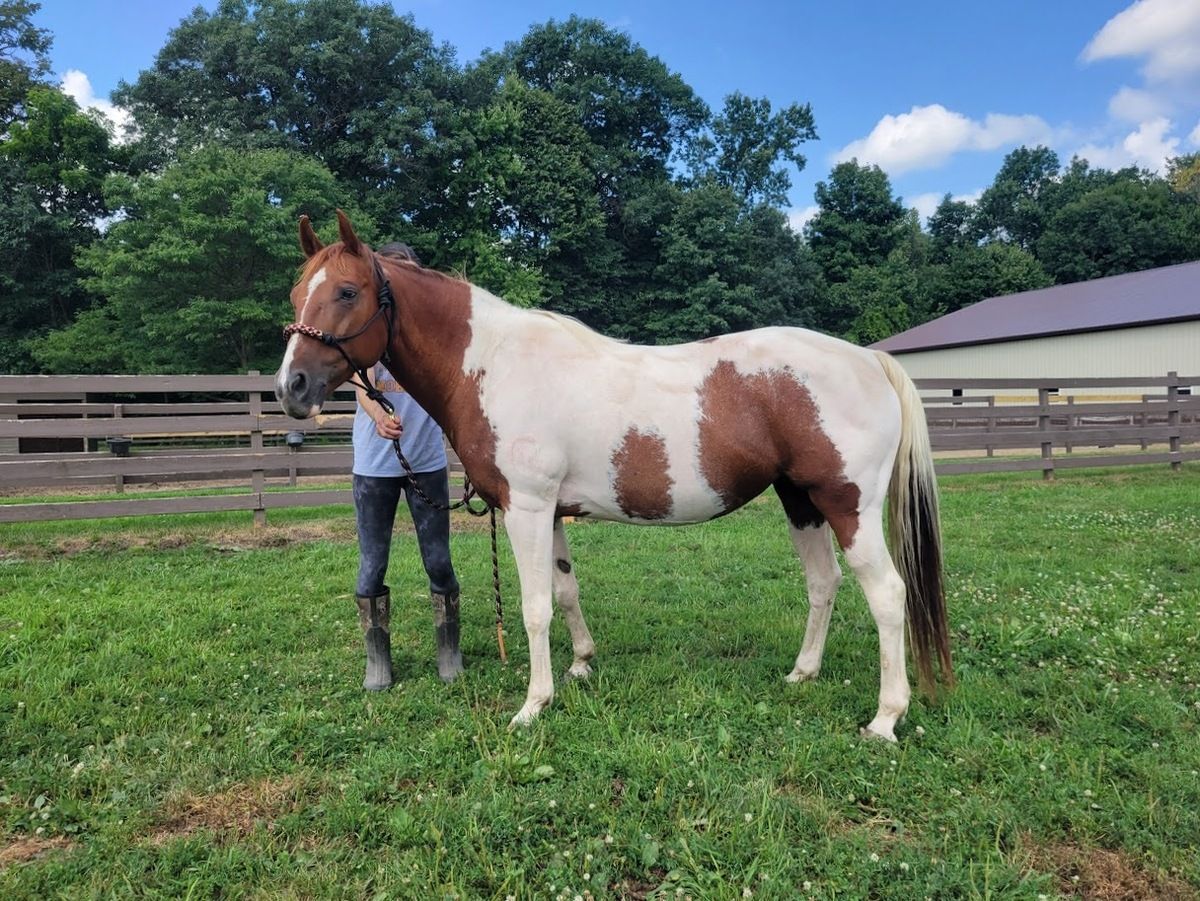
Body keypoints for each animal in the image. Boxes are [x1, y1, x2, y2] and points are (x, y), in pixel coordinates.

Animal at [275, 211, 952, 742]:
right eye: (296, 293)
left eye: (346, 292)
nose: (291, 387)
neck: (492, 364)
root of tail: (868, 358)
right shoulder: (550, 512)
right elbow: (566, 591)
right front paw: (580, 665)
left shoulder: (526, 509)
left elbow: (534, 607)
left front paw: (534, 704)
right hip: (801, 501)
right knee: (823, 584)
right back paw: (802, 673)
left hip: (847, 505)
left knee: (887, 594)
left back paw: (886, 718)